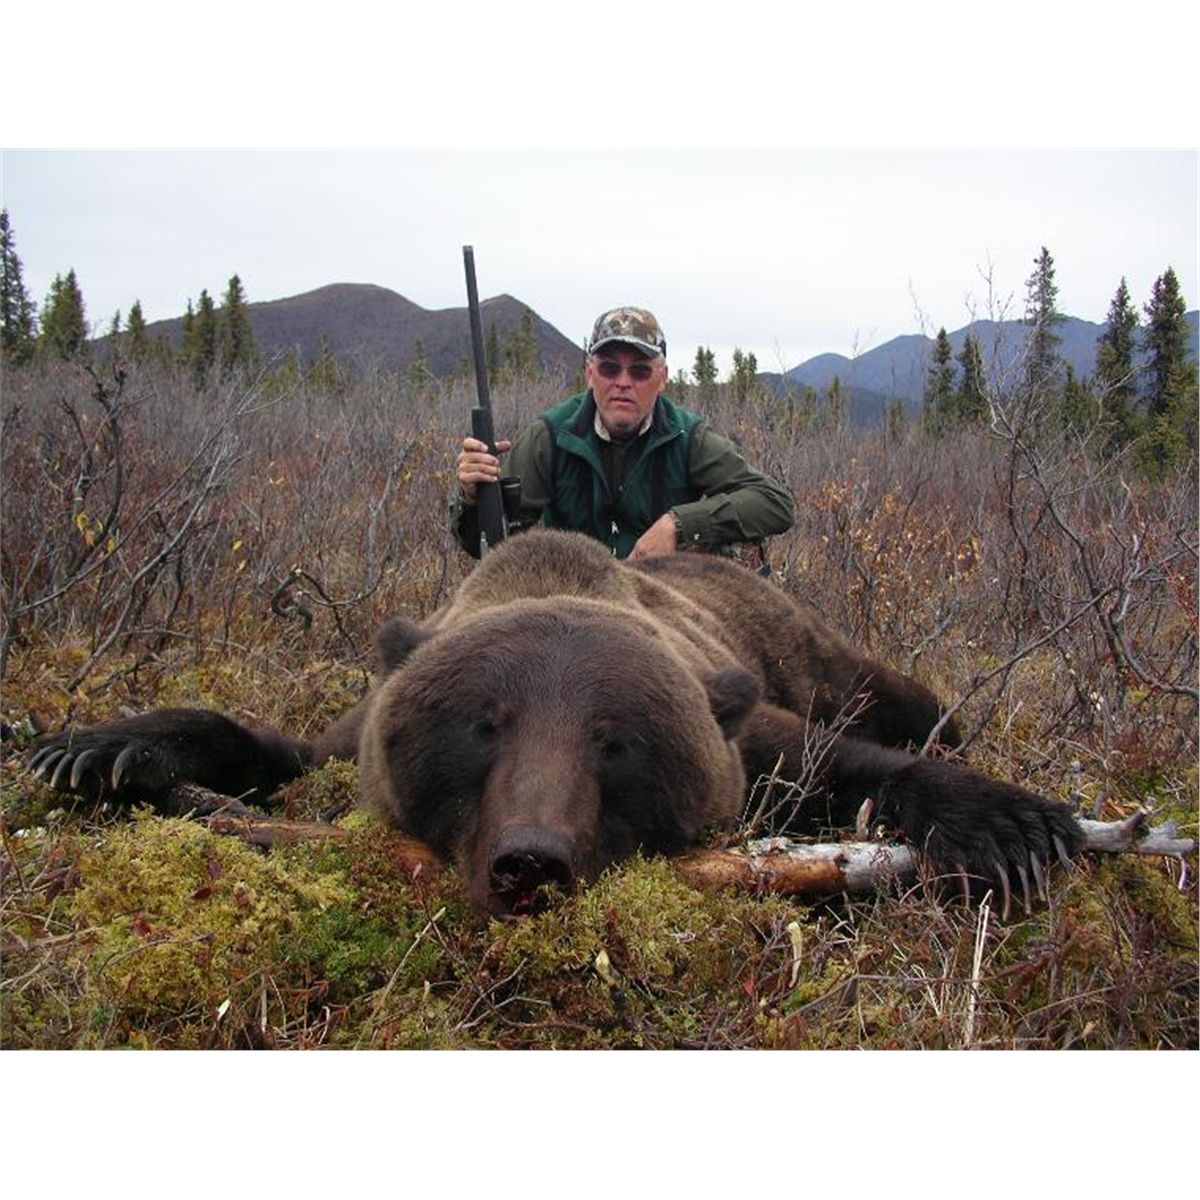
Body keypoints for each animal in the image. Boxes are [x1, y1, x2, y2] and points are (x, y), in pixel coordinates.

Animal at [27, 528, 1082, 917]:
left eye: (615, 742)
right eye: (482, 726)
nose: (528, 859)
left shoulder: (744, 726)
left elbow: (841, 761)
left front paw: (1010, 821)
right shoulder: (357, 728)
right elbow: (272, 745)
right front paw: (95, 748)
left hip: (812, 644)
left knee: (901, 696)